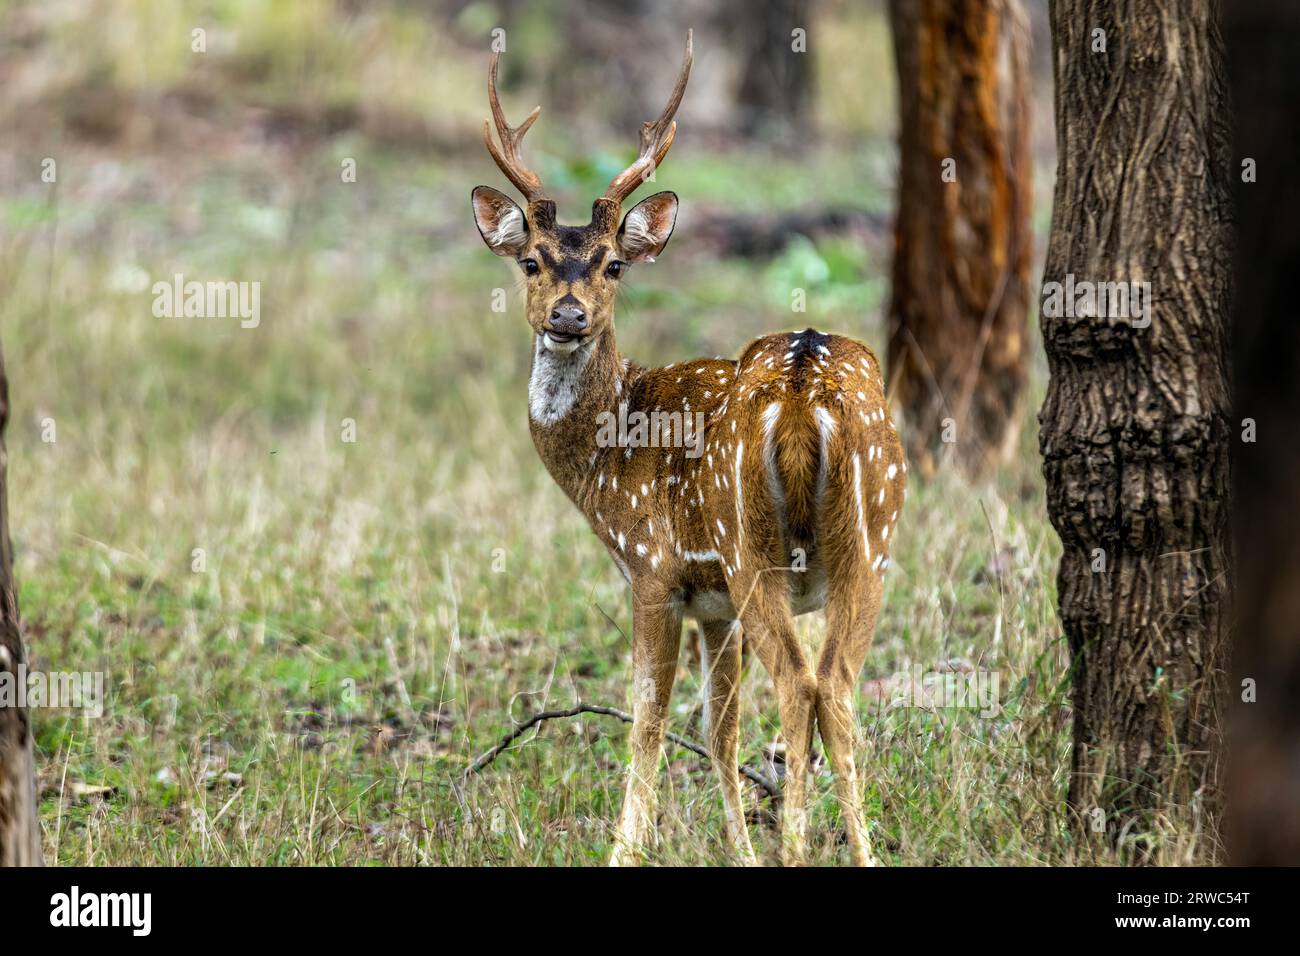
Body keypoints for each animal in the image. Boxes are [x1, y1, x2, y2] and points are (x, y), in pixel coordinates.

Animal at [470, 31, 906, 866]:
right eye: (530, 261)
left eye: (612, 264)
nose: (568, 315)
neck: (607, 460)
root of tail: (804, 389)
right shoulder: (713, 606)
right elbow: (718, 727)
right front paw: (739, 850)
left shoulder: (655, 569)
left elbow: (648, 717)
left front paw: (625, 848)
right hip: (867, 543)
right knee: (835, 687)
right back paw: (856, 849)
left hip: (752, 548)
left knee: (800, 683)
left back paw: (797, 847)